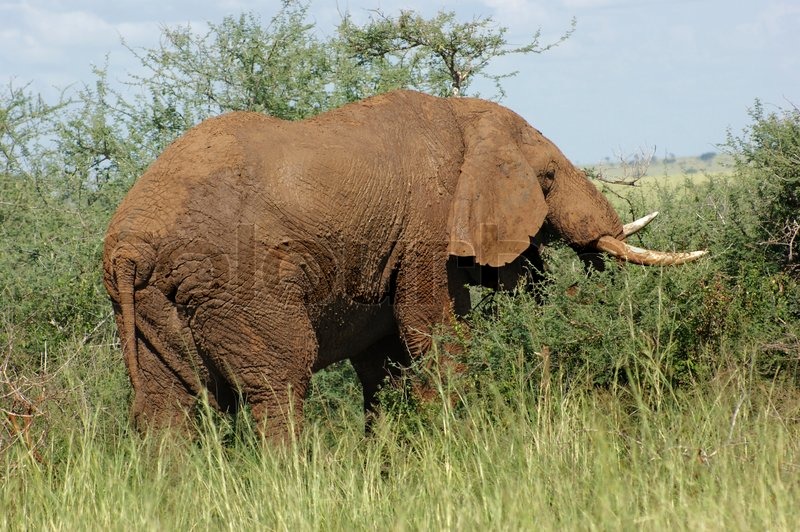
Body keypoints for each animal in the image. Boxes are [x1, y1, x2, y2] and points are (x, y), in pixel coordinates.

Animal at [103, 89, 705, 439]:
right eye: (550, 177)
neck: (465, 115)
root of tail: (129, 247)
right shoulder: (428, 220)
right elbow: (430, 327)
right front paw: (458, 438)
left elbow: (387, 358)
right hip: (236, 281)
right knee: (280, 383)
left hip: (158, 301)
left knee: (167, 405)